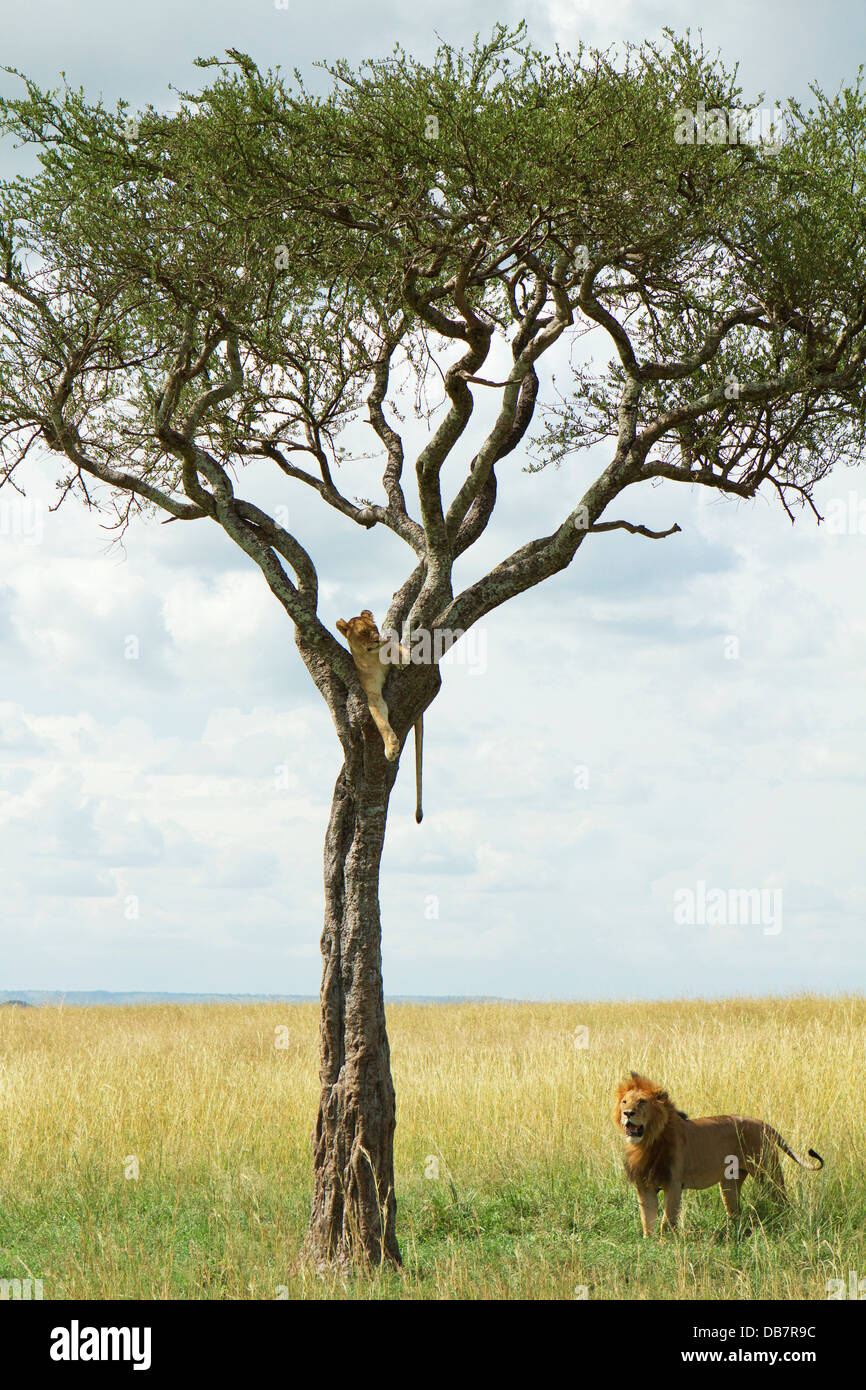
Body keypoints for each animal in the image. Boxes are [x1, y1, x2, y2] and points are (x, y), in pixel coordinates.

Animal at [336, 609, 424, 823]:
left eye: (375, 628)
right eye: (363, 632)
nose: (377, 639)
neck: (371, 658)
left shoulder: (391, 647)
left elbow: (393, 646)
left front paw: (399, 657)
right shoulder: (373, 695)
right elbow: (381, 722)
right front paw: (391, 747)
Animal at [614, 1071, 823, 1236]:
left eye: (642, 1102)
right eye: (624, 1101)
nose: (627, 1113)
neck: (646, 1142)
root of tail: (763, 1124)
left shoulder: (673, 1183)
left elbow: (667, 1221)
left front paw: (665, 1244)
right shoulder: (644, 1186)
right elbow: (647, 1221)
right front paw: (649, 1244)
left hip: (767, 1172)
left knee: (782, 1200)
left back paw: (784, 1225)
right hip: (730, 1181)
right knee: (735, 1212)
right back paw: (731, 1235)